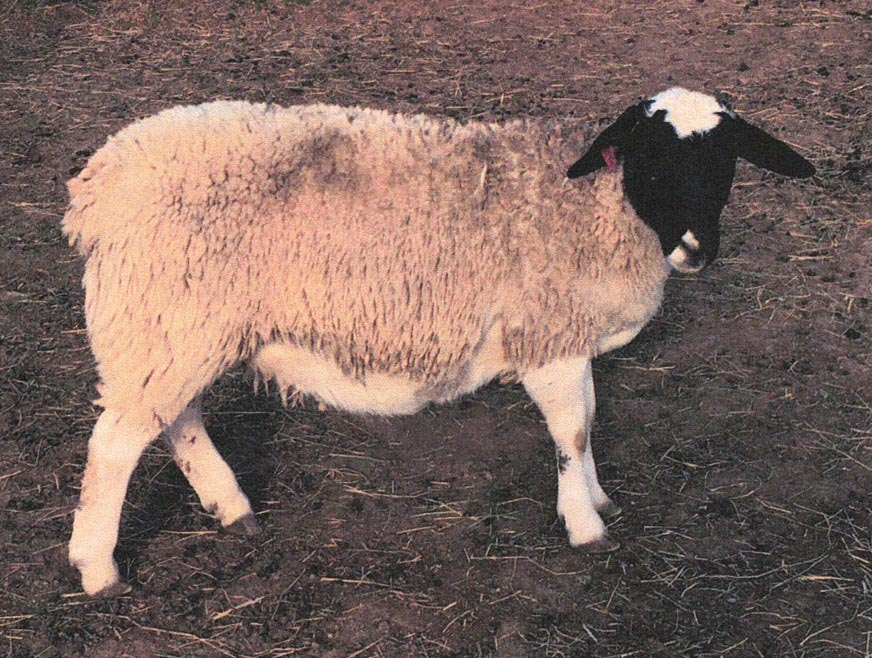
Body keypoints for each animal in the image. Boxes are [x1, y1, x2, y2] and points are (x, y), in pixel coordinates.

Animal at [63, 87, 815, 596]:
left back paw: (232, 509)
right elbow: (571, 432)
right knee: (116, 444)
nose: (697, 249)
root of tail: (100, 182)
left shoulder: (565, 332)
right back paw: (98, 568)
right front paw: (585, 526)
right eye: (652, 160)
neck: (596, 204)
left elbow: (590, 420)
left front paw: (597, 498)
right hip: (166, 315)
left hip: (176, 328)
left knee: (175, 421)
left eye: (724, 163)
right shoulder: (545, 333)